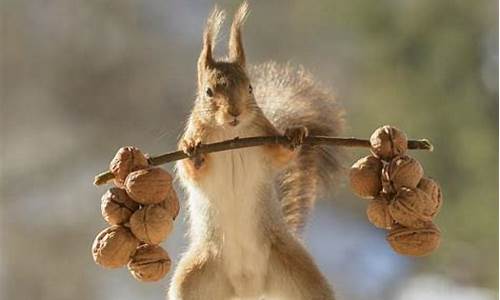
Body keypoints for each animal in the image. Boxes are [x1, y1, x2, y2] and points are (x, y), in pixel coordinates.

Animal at [168, 1, 344, 298]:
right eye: (208, 92)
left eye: (250, 88)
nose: (235, 113)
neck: (231, 134)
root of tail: (248, 288)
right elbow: (189, 171)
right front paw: (192, 149)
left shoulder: (264, 141)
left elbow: (282, 156)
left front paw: (294, 134)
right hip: (194, 278)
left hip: (296, 270)